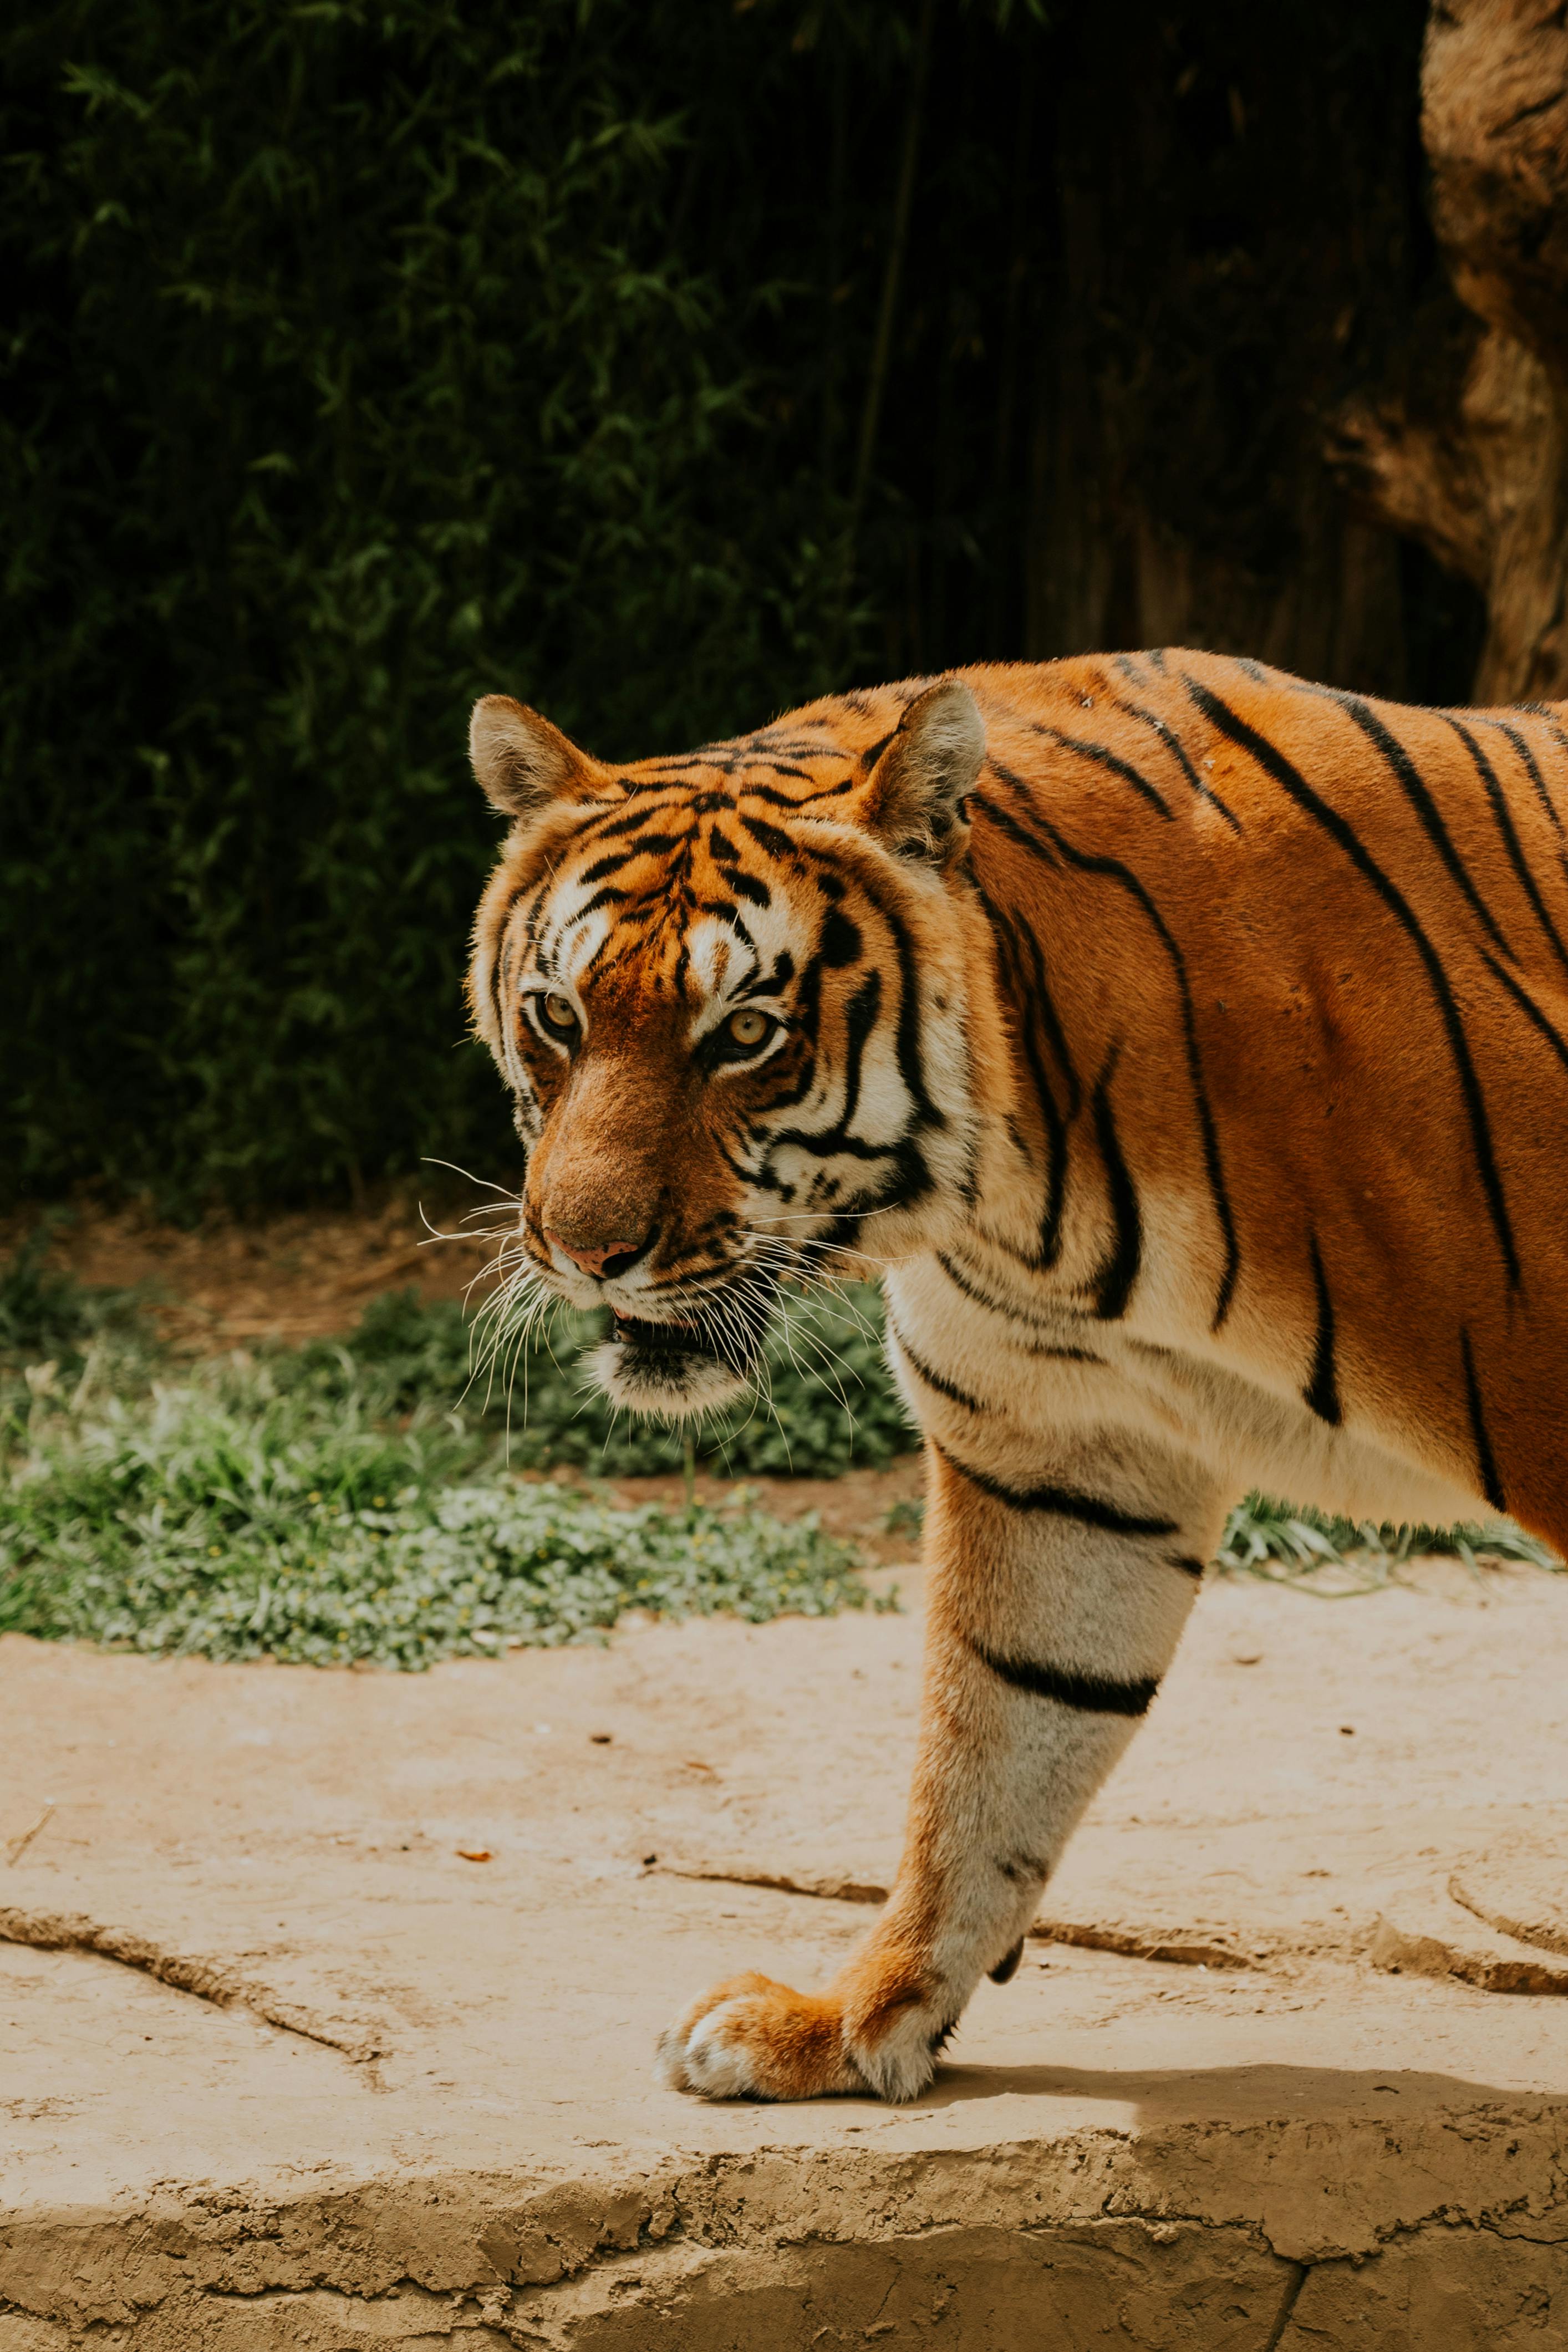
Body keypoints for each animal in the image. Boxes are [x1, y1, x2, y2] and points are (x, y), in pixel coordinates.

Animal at [465, 648, 1568, 2104]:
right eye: (556, 1015)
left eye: (744, 1033)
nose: (584, 1251)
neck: (1020, 1188)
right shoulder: (1066, 1451)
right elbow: (997, 1740)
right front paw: (849, 2019)